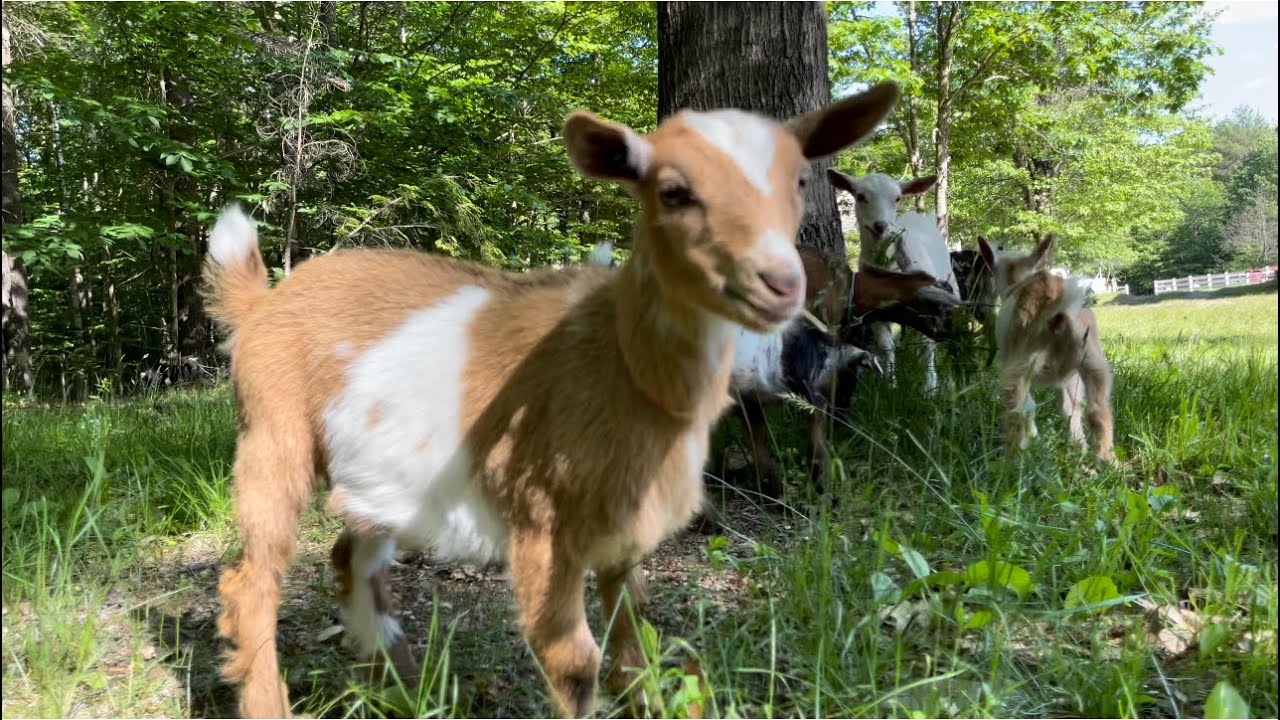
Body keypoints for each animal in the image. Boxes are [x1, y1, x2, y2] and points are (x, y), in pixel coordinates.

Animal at [204, 83, 901, 718]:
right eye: (672, 192)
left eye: (797, 183)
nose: (781, 284)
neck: (623, 366)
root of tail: (261, 302)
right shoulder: (543, 523)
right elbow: (574, 663)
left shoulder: (626, 530)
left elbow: (634, 635)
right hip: (272, 435)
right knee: (250, 582)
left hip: (383, 479)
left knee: (351, 557)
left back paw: (404, 687)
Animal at [827, 170, 959, 394]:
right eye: (860, 196)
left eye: (897, 198)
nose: (881, 226)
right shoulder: (875, 311)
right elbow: (886, 345)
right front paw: (890, 385)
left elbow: (927, 342)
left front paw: (930, 387)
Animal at [978, 236, 1116, 463]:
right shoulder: (1071, 378)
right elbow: (1071, 408)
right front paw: (1078, 448)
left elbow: (1031, 407)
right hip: (1093, 363)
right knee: (1097, 411)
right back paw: (1106, 461)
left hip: (1019, 366)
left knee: (1016, 412)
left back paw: (1010, 461)